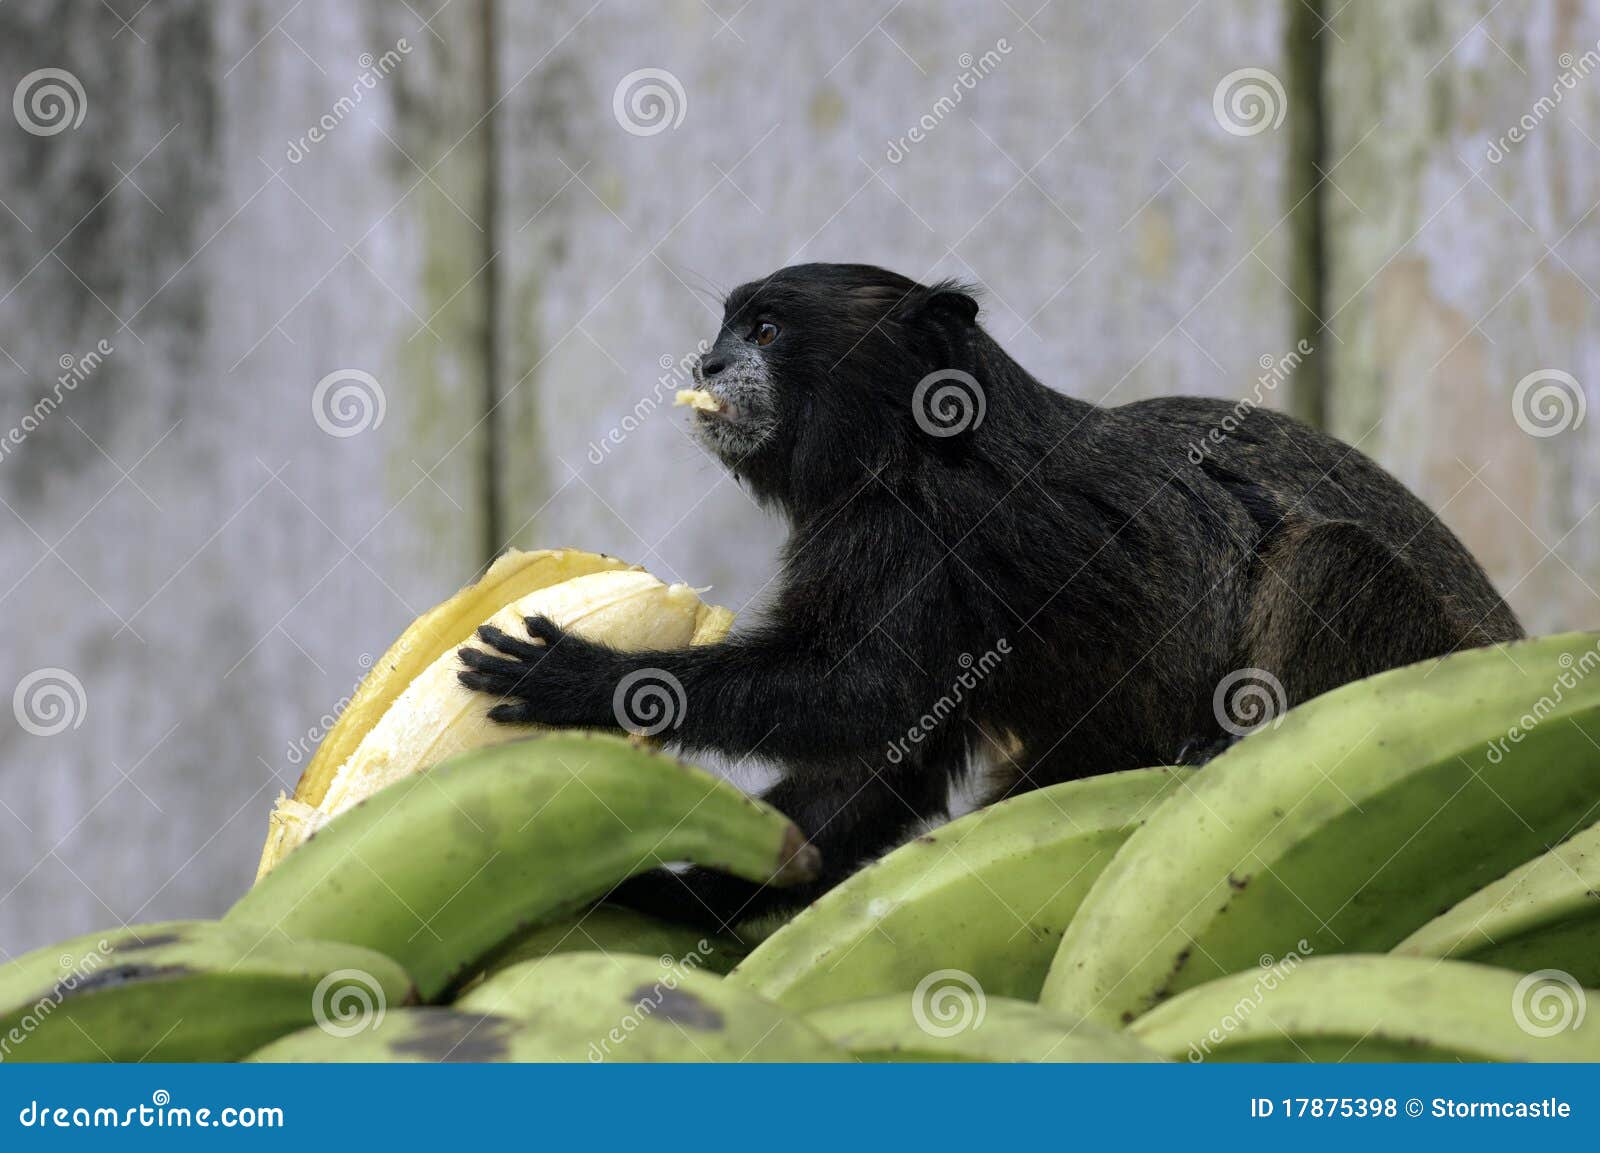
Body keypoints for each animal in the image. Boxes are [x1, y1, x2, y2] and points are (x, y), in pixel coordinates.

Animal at [457, 263, 1522, 933]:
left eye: (762, 331)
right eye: (724, 332)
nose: (706, 364)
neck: (911, 443)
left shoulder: (921, 528)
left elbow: (865, 691)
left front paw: (589, 682)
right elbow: (887, 752)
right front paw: (693, 896)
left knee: (1325, 554)